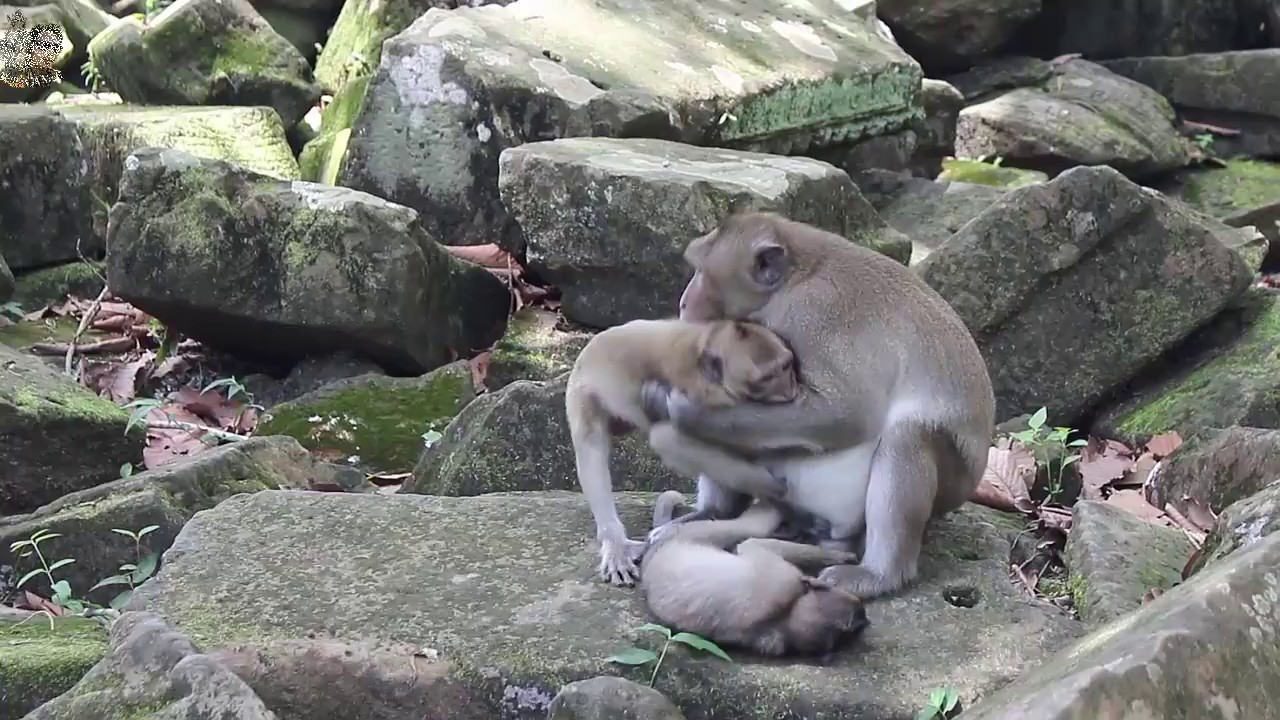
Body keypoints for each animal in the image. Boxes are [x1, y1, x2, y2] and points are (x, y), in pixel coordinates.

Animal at [639, 490, 869, 658]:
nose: (866, 620)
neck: (786, 616)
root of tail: (652, 552)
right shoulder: (781, 576)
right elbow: (750, 545)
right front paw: (842, 556)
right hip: (697, 533)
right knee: (755, 528)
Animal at [641, 211, 996, 600]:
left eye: (702, 272)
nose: (683, 302)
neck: (795, 277)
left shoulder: (813, 317)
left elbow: (845, 415)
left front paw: (682, 408)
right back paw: (715, 512)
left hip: (945, 480)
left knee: (908, 437)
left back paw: (880, 573)